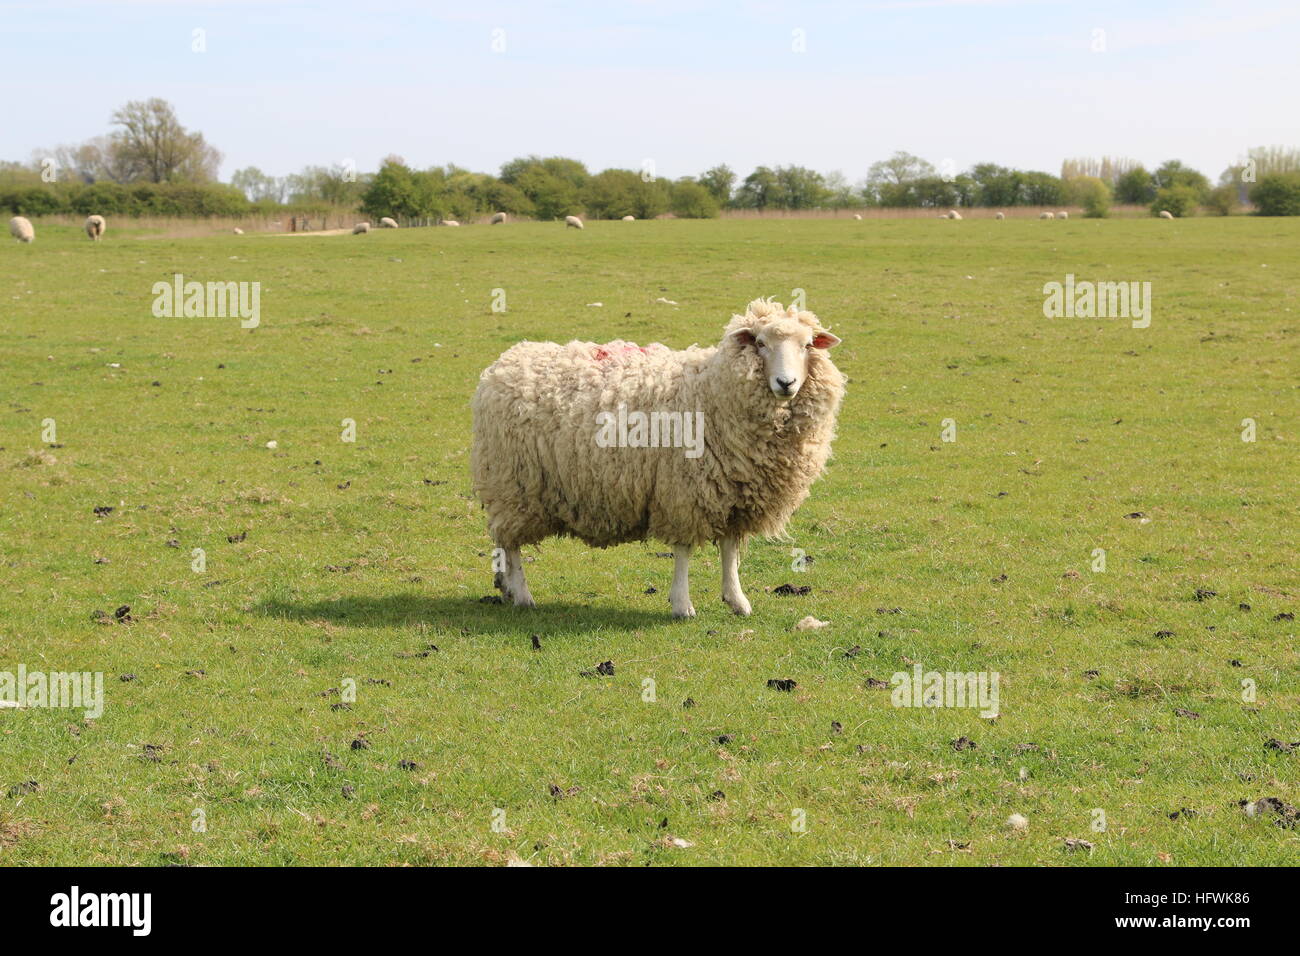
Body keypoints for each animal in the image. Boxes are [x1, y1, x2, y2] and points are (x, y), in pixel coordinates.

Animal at [470, 298, 845, 618]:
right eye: (761, 343)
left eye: (807, 345)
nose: (786, 382)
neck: (712, 391)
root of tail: (504, 361)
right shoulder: (684, 490)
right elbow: (683, 551)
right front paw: (682, 604)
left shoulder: (733, 494)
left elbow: (729, 551)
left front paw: (736, 599)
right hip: (514, 485)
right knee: (512, 544)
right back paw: (522, 594)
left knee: (503, 541)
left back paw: (505, 586)